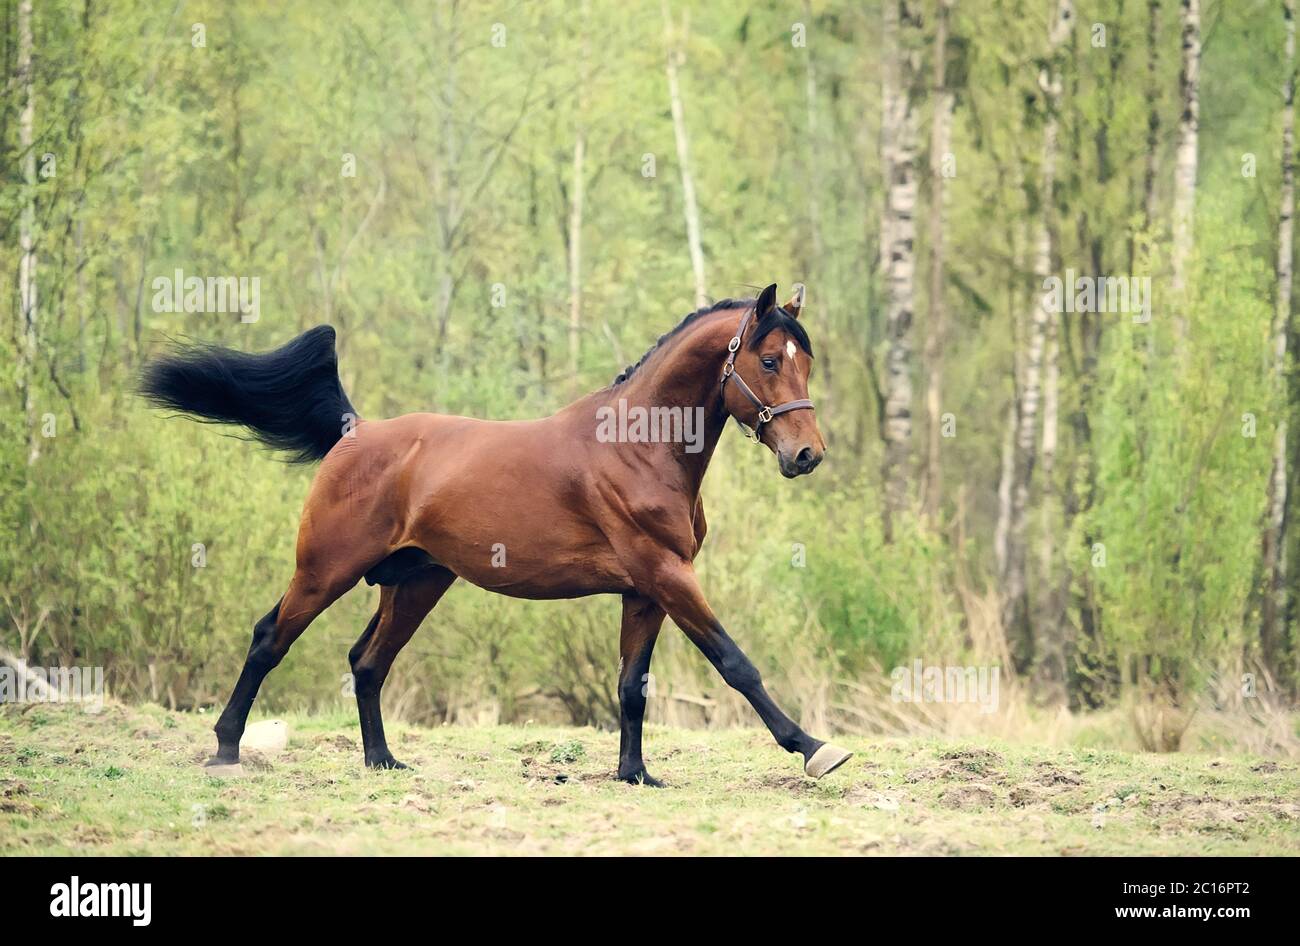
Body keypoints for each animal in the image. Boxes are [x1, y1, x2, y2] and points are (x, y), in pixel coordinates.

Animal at [140, 282, 852, 785]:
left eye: (808, 364)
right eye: (768, 360)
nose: (807, 455)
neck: (637, 449)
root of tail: (355, 430)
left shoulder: (647, 590)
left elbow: (632, 686)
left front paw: (635, 774)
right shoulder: (669, 577)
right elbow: (737, 665)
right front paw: (815, 748)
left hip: (416, 584)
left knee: (367, 662)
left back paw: (382, 762)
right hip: (324, 571)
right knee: (270, 640)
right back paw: (226, 749)